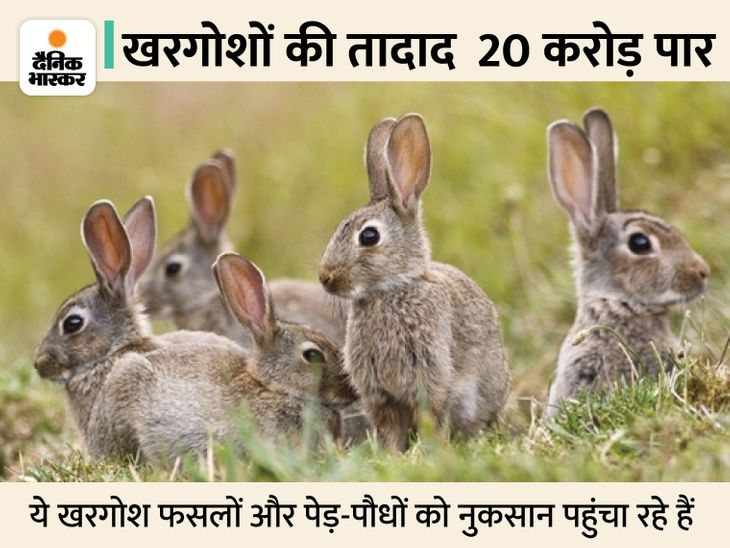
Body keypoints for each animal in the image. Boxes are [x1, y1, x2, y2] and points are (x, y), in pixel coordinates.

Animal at [318, 113, 511, 452]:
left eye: (369, 236)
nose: (325, 277)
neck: (391, 289)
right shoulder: (380, 394)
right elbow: (390, 428)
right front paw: (393, 455)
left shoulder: (429, 378)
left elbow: (431, 418)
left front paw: (434, 451)